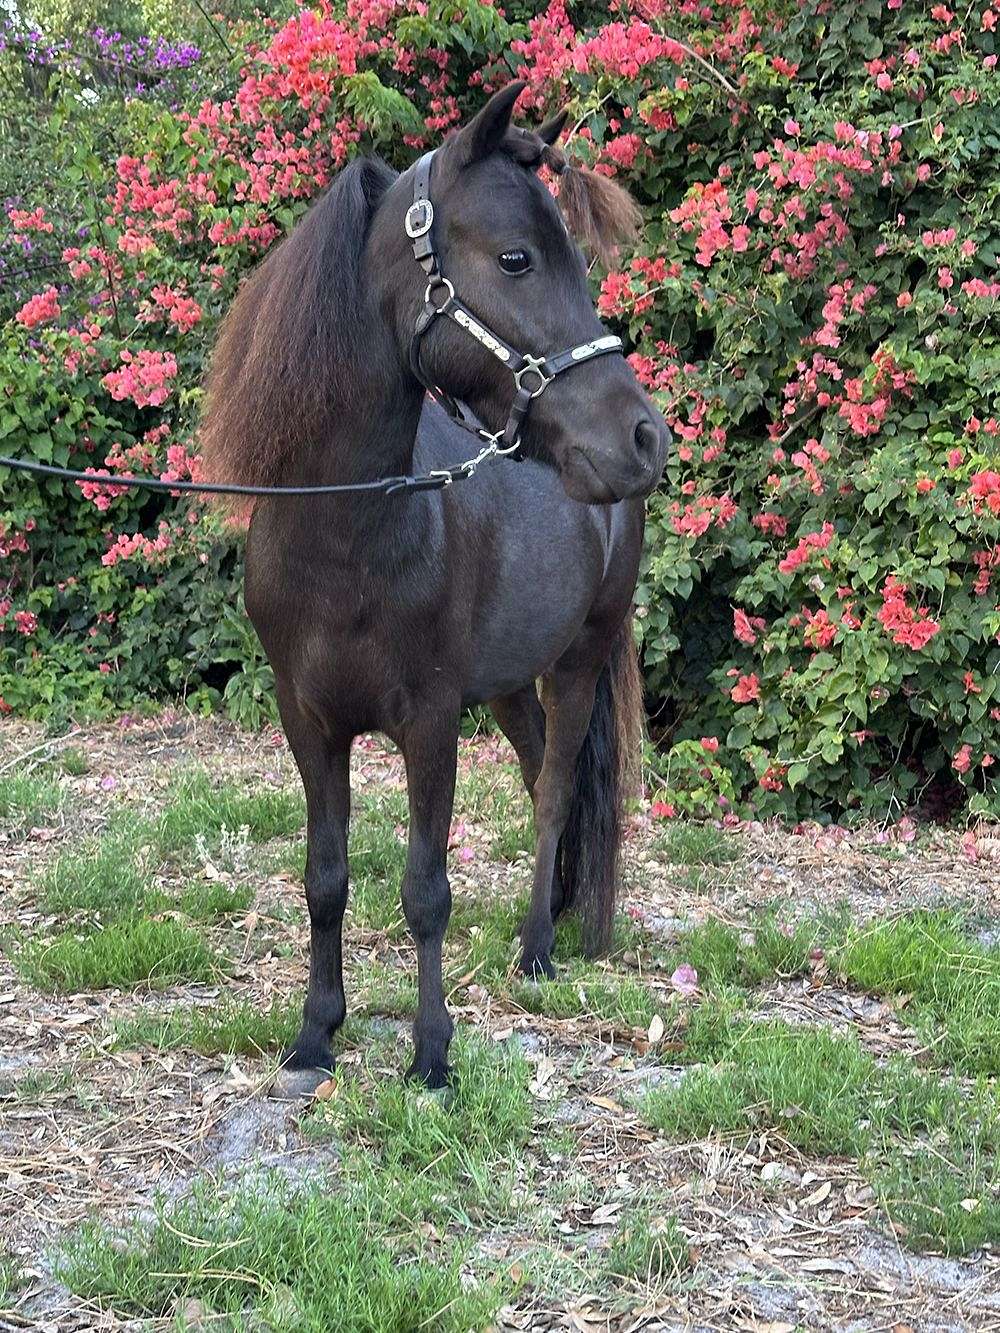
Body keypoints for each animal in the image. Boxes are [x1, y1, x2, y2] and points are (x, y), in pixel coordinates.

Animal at [199, 82, 670, 1090]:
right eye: (517, 257)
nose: (644, 438)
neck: (347, 532)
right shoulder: (310, 723)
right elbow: (325, 876)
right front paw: (316, 1034)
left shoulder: (429, 721)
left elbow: (425, 888)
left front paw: (431, 1052)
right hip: (509, 684)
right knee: (539, 772)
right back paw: (556, 910)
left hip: (578, 660)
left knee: (553, 789)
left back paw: (539, 943)